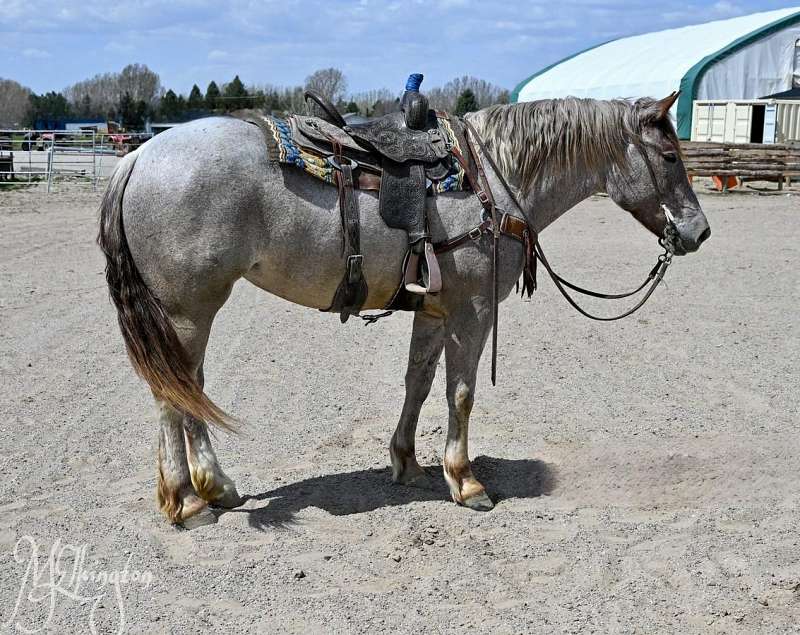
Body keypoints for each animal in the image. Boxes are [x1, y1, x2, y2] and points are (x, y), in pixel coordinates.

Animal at [97, 92, 710, 525]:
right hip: (187, 311)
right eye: (669, 155)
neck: (496, 177)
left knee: (190, 389)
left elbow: (418, 382)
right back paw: (185, 500)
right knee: (171, 395)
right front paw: (465, 481)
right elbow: (460, 393)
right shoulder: (471, 310)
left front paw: (407, 462)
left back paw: (217, 487)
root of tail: (140, 155)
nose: (699, 232)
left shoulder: (434, 310)